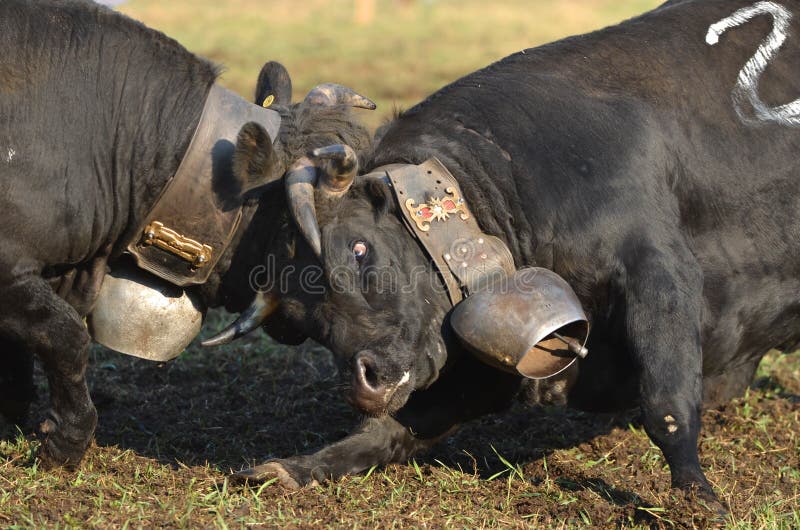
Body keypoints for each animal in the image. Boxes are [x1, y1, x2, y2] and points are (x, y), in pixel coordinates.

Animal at [217, 0, 800, 509]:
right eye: (299, 322)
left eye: (359, 250)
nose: (367, 382)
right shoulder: (483, 361)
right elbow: (391, 430)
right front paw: (296, 467)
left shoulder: (659, 269)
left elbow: (668, 403)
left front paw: (696, 499)